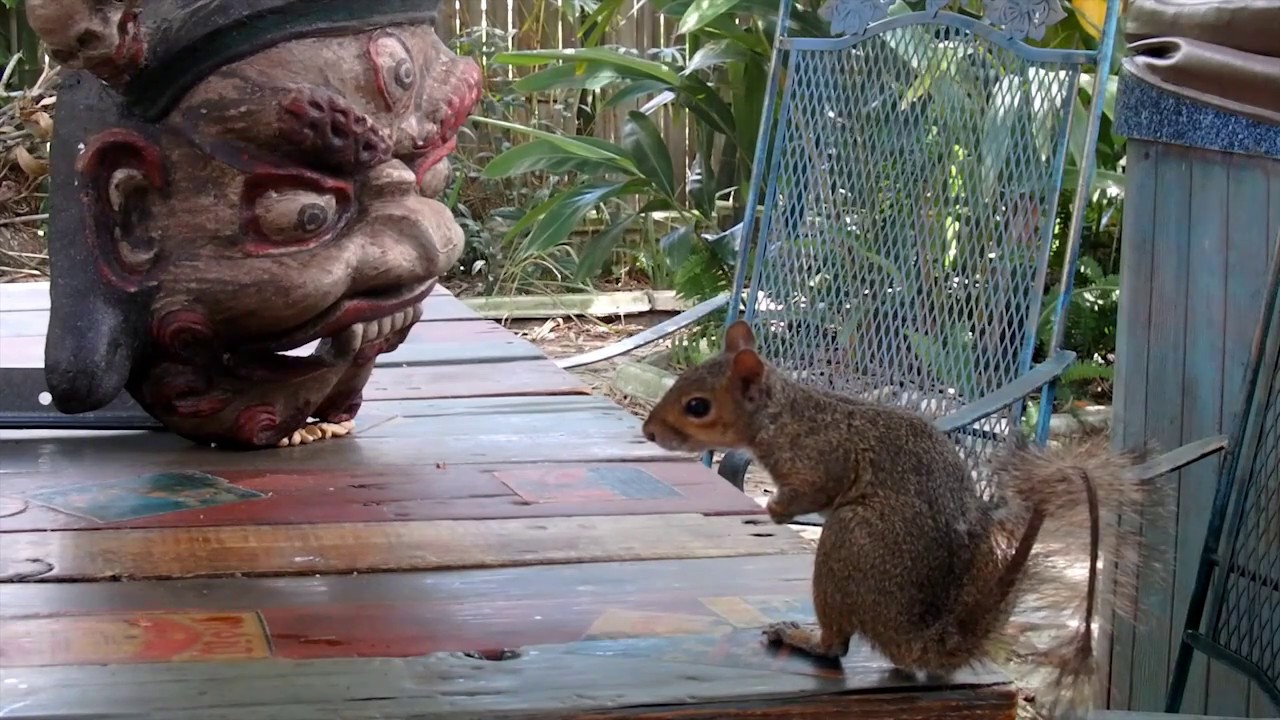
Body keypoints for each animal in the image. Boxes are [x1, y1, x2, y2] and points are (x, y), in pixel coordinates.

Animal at [642, 319, 1149, 716]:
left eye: (697, 406)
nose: (647, 431)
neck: (784, 415)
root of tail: (916, 636)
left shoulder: (822, 460)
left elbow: (812, 490)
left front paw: (774, 510)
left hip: (852, 538)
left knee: (837, 647)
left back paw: (802, 638)